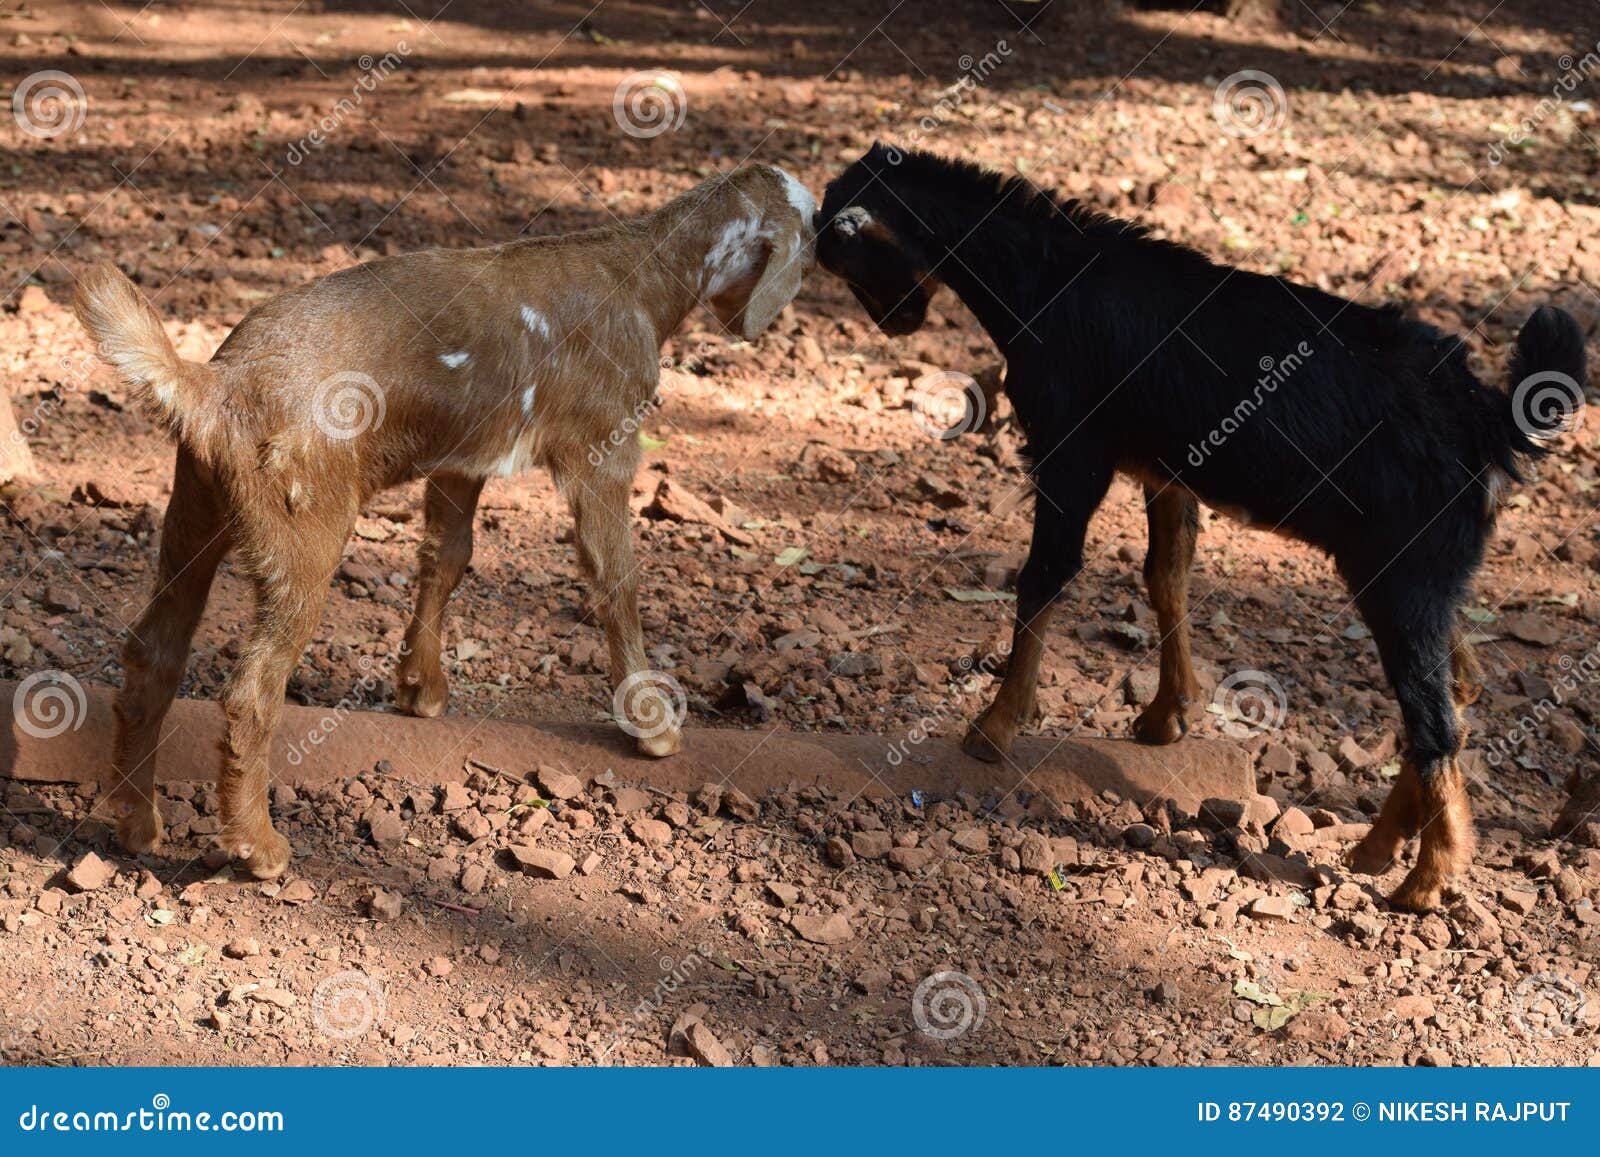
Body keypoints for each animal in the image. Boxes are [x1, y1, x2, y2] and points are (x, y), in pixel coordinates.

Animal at [74, 162, 817, 879]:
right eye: (813, 224)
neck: (645, 275)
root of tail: (210, 389)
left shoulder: (463, 458)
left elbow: (446, 555)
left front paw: (421, 688)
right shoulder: (601, 444)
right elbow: (615, 577)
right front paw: (653, 723)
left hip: (194, 510)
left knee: (154, 651)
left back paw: (137, 824)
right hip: (302, 526)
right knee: (251, 692)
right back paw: (258, 848)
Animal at [814, 143, 1586, 911]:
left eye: (844, 258)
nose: (895, 324)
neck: (1044, 277)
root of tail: (1486, 417)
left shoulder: (1071, 447)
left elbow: (1046, 577)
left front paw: (995, 727)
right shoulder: (1164, 470)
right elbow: (1167, 577)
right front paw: (1167, 714)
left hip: (1402, 577)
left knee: (1435, 721)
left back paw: (1425, 881)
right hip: (1423, 573)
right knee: (1463, 683)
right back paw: (1378, 847)